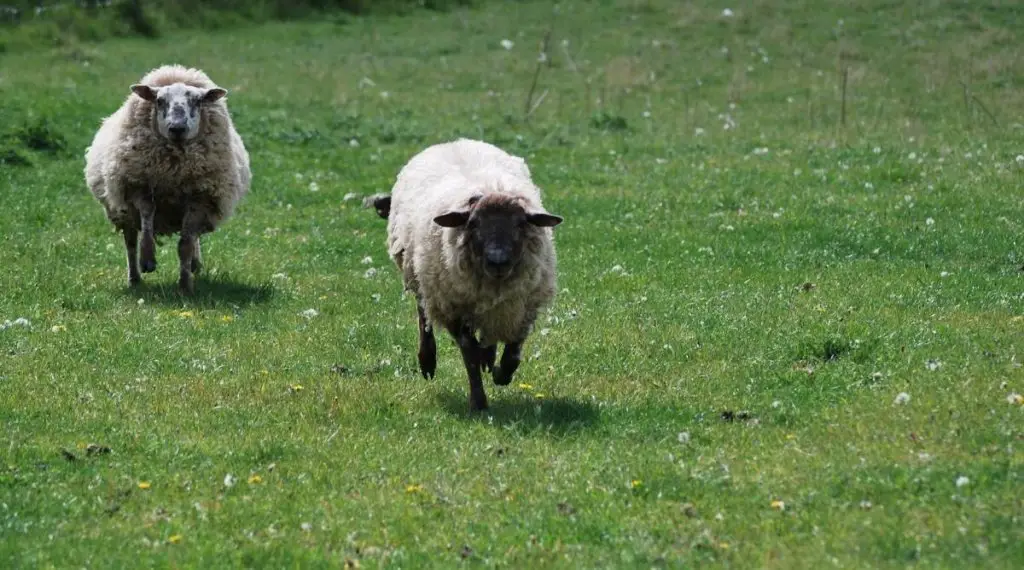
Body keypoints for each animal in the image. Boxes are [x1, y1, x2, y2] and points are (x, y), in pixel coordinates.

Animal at [84, 64, 251, 293]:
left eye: (198, 101)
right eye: (159, 100)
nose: (177, 128)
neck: (174, 170)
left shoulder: (200, 197)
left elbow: (186, 244)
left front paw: (185, 285)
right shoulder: (139, 187)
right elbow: (147, 221)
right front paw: (147, 260)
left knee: (192, 238)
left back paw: (194, 265)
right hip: (121, 209)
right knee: (130, 242)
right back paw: (134, 278)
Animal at [380, 138, 563, 411]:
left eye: (520, 223)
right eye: (473, 223)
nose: (498, 260)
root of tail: (452, 142)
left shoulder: (524, 307)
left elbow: (513, 353)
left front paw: (501, 374)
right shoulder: (453, 308)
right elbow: (470, 356)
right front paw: (478, 402)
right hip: (421, 277)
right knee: (424, 316)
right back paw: (427, 362)